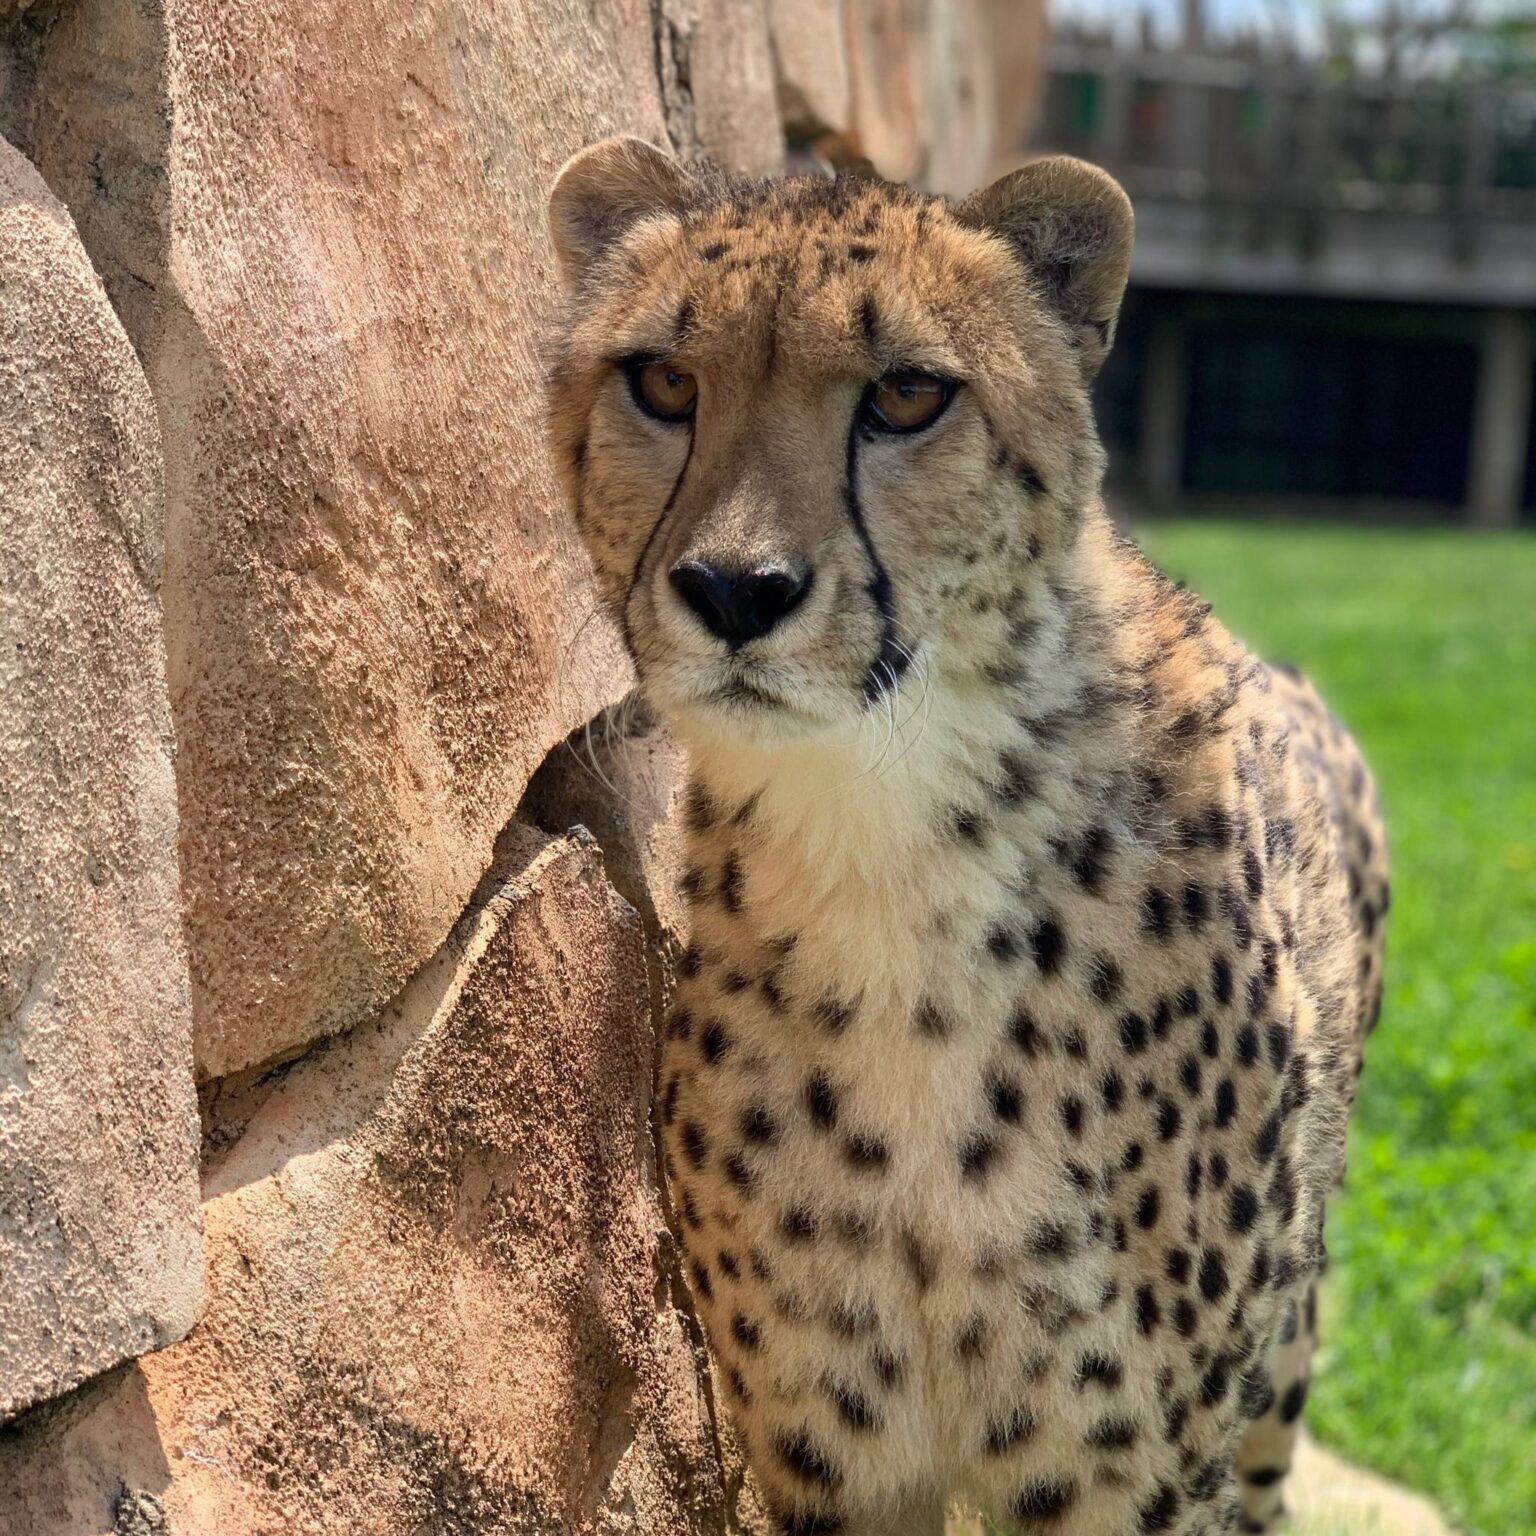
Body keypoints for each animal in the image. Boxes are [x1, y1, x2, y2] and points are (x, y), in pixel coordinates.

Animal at [544, 136, 1389, 1536]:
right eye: (662, 381)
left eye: (905, 395)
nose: (735, 591)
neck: (886, 829)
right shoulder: (832, 1451)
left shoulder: (1133, 1472)